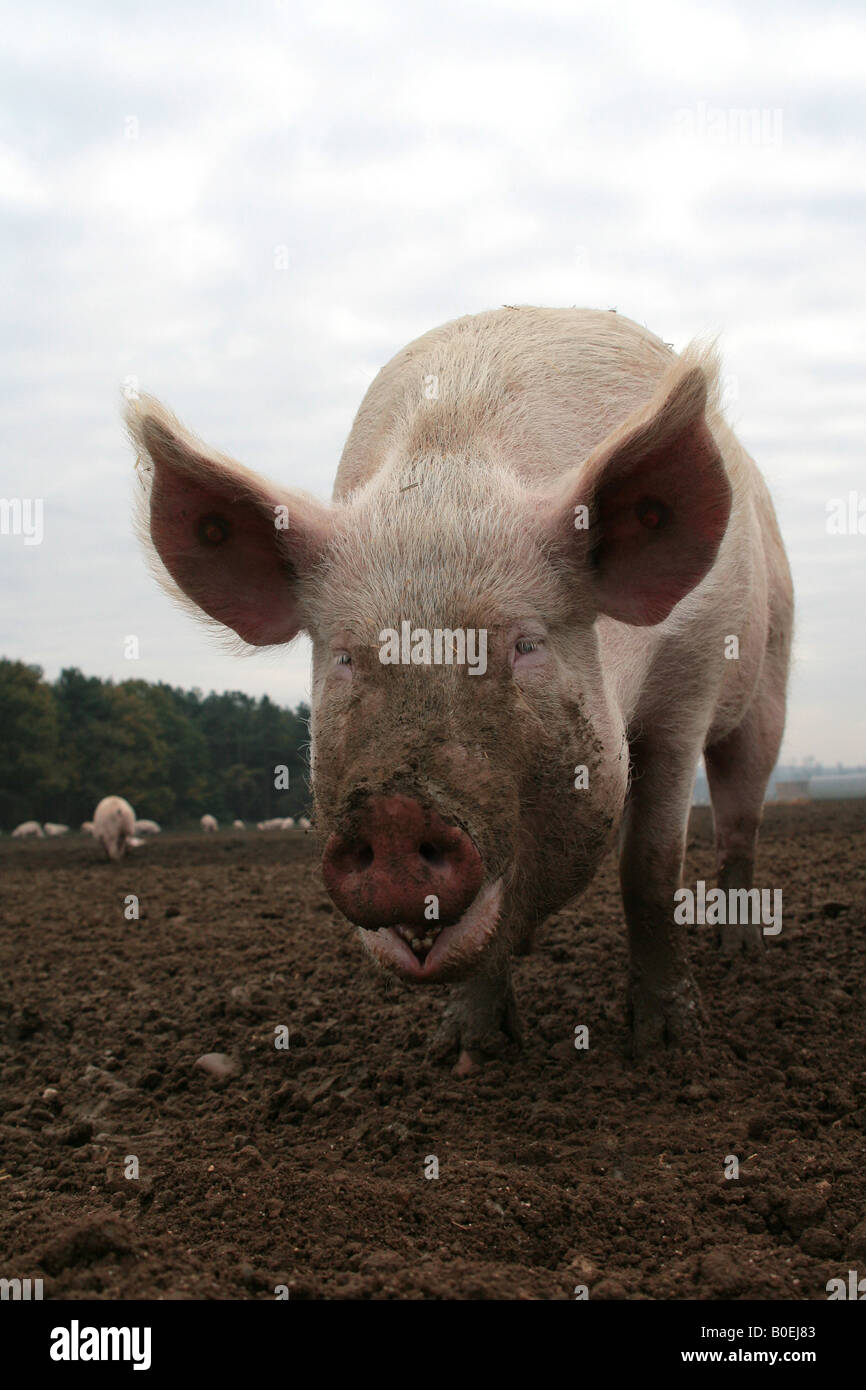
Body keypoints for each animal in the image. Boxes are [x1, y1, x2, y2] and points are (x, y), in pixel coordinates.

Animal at [129, 306, 793, 1066]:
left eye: (526, 644)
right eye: (347, 656)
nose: (394, 814)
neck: (450, 463)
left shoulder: (691, 682)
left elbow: (650, 870)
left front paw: (670, 1043)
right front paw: (462, 1052)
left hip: (768, 683)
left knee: (741, 817)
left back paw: (740, 950)